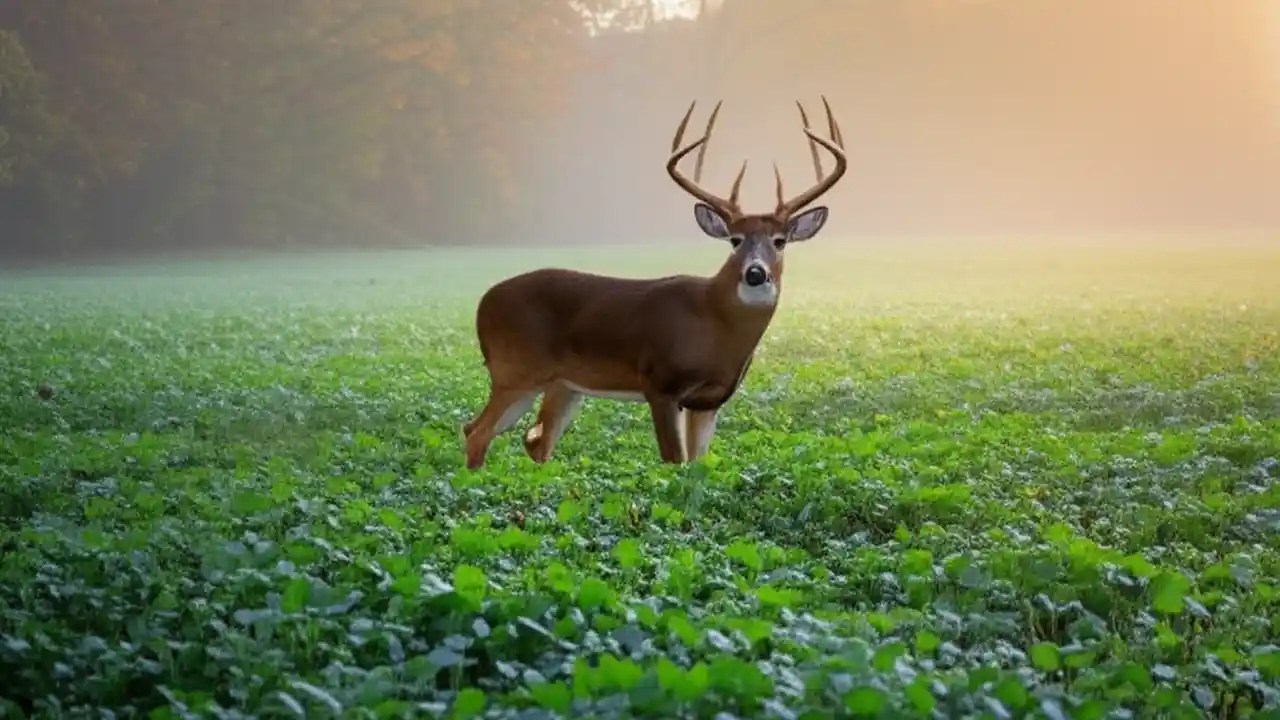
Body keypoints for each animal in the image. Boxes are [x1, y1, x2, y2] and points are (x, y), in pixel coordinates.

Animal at [461, 97, 848, 470]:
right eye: (735, 240)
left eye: (780, 241)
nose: (755, 272)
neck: (715, 326)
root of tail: (482, 301)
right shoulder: (660, 383)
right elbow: (673, 461)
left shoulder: (708, 401)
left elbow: (696, 465)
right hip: (514, 370)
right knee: (477, 431)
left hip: (563, 385)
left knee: (532, 440)